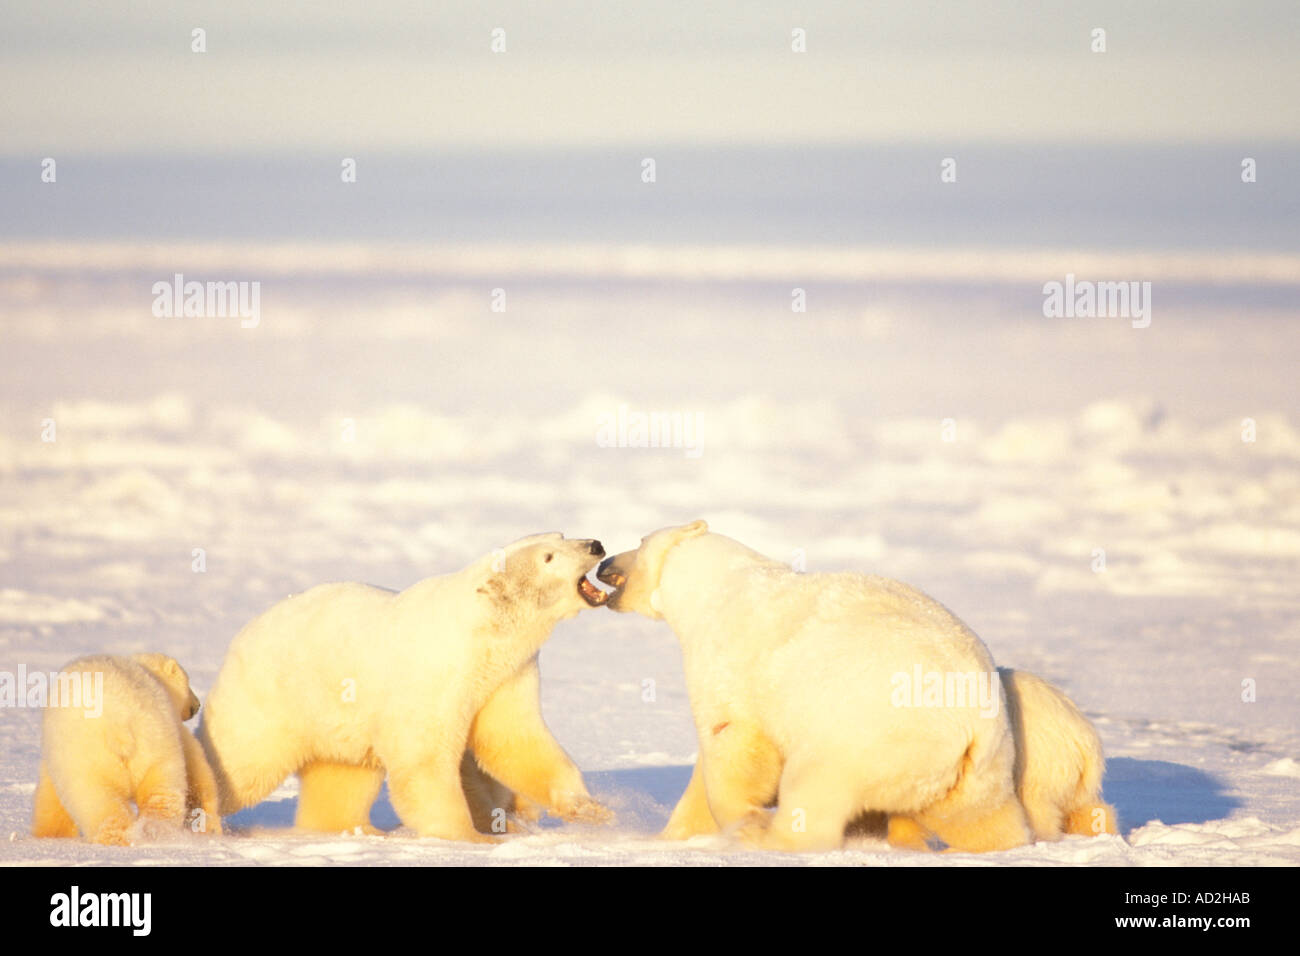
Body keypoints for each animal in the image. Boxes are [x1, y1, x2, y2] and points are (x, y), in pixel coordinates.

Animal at [32, 653, 222, 845]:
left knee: (101, 804)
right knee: (161, 793)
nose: (197, 705)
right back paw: (158, 833)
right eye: (188, 683)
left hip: (93, 762)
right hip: (152, 746)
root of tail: (119, 722)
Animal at [198, 532, 612, 842]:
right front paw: (472, 836)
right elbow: (424, 756)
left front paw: (592, 809)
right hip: (270, 695)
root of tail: (245, 632)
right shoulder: (437, 673)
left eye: (562, 536)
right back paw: (205, 818)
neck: (481, 634)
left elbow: (517, 740)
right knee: (239, 761)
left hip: (340, 722)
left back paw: (360, 830)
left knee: (343, 779)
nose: (595, 545)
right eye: (548, 557)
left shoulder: (508, 674)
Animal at [597, 520, 1031, 853]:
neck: (717, 587)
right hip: (981, 767)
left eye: (639, 541)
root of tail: (971, 722)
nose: (603, 561)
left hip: (867, 736)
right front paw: (676, 833)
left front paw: (744, 821)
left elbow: (731, 741)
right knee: (982, 817)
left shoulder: (727, 659)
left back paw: (773, 838)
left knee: (814, 788)